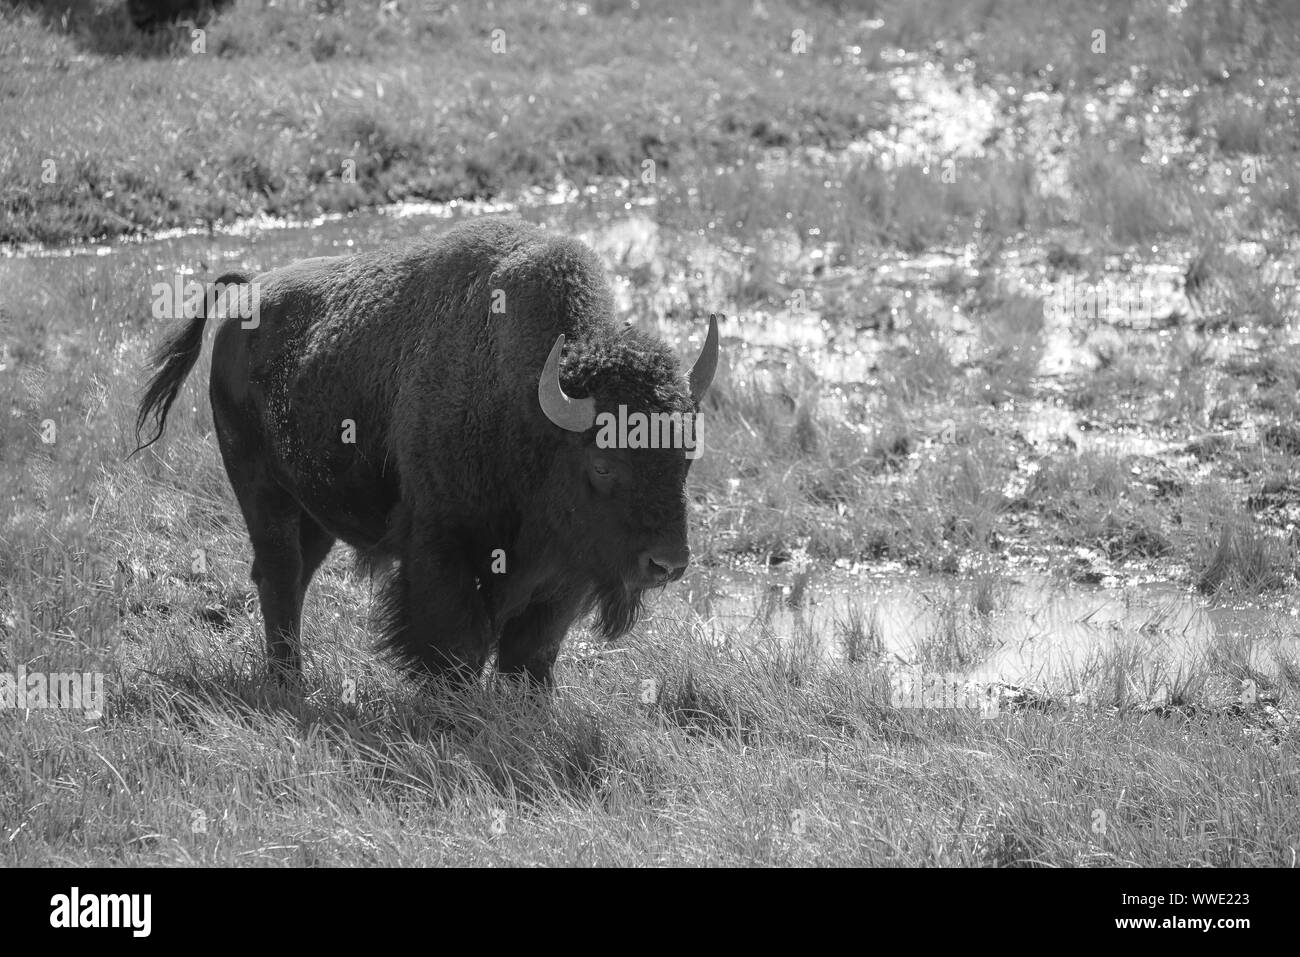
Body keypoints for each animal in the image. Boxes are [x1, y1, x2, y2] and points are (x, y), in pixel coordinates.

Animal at [134, 218, 719, 690]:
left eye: (686, 456)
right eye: (603, 463)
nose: (667, 564)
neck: (529, 413)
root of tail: (247, 296)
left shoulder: (563, 574)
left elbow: (531, 650)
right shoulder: (444, 549)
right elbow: (456, 643)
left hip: (315, 511)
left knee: (290, 577)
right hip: (259, 487)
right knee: (279, 572)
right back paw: (288, 682)